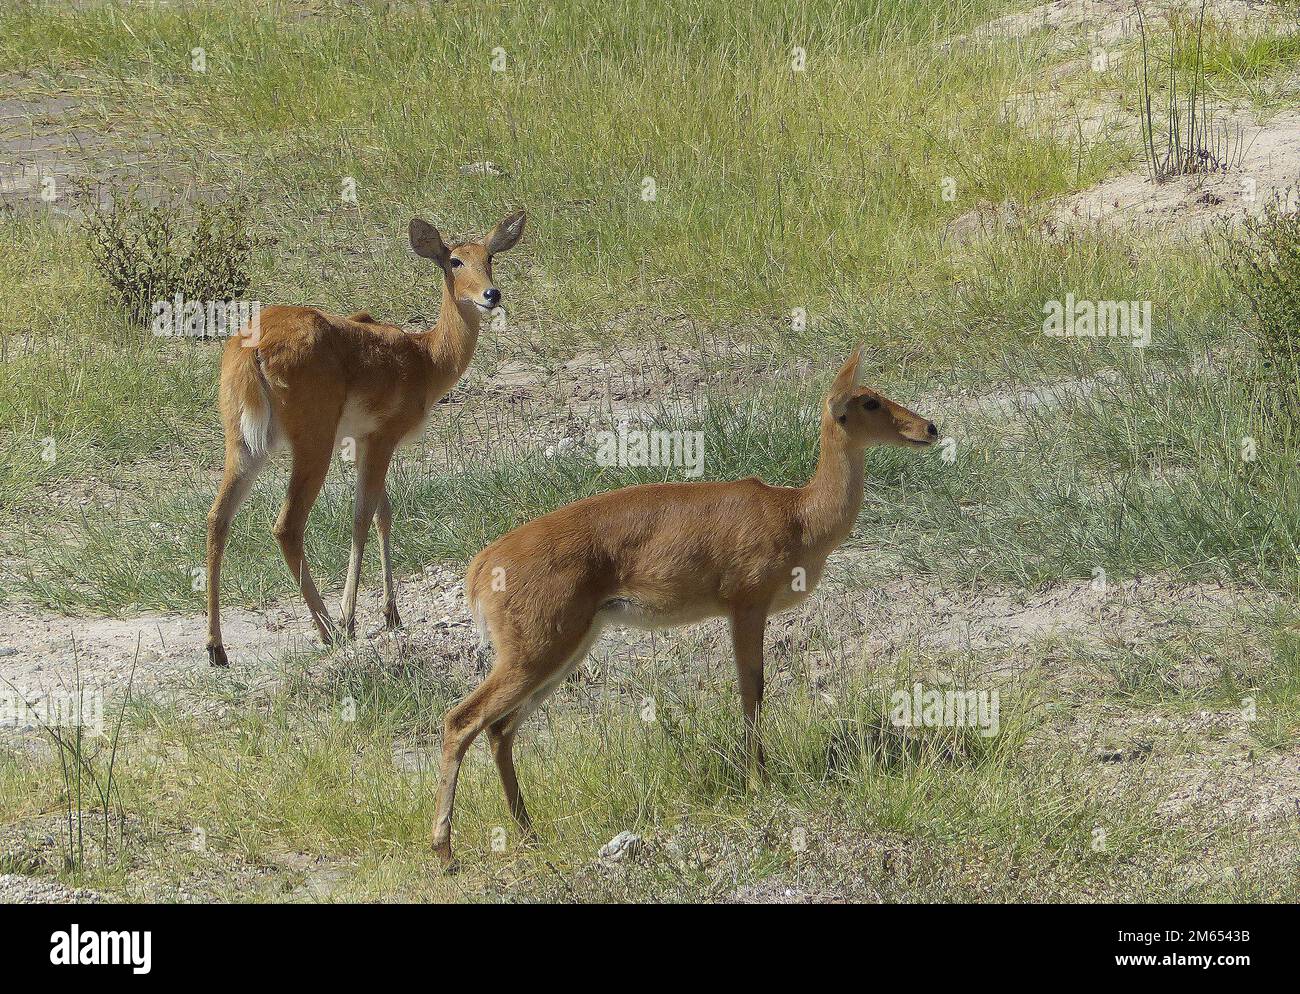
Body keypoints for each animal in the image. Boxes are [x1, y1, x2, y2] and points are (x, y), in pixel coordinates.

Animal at [205, 210, 527, 666]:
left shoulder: (362, 442)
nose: (491, 294)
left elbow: (382, 515)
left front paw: (392, 613)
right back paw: (328, 630)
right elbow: (362, 516)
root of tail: (251, 347)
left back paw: (216, 648)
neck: (425, 357)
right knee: (287, 526)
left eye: (490, 258)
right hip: (312, 445)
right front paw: (351, 616)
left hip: (245, 445)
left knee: (218, 518)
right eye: (454, 260)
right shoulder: (382, 440)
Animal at [431, 349, 937, 871]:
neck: (798, 515)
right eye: (869, 401)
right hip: (534, 651)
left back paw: (529, 833)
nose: (930, 428)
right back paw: (445, 851)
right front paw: (758, 783)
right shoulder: (746, 604)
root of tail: (482, 566)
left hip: (564, 649)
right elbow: (752, 690)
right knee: (461, 720)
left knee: (500, 728)